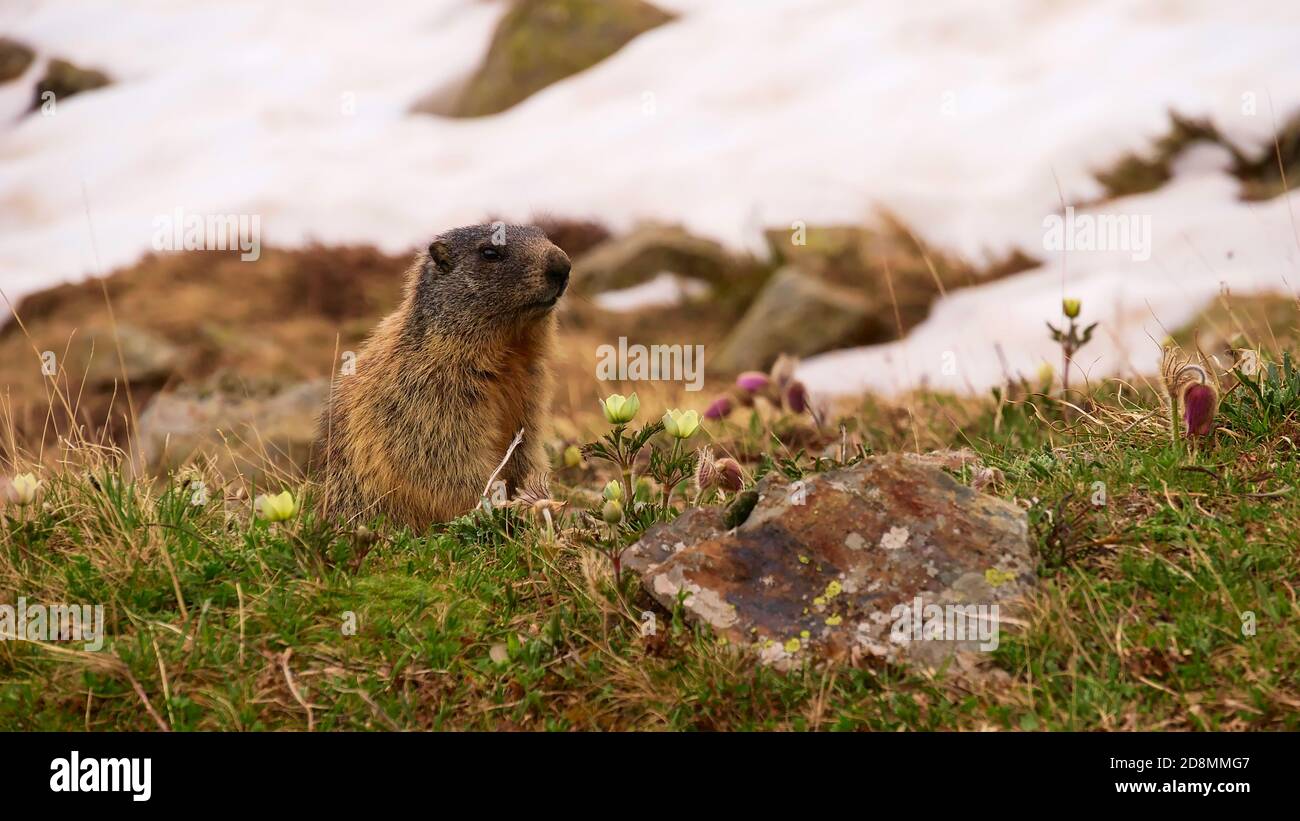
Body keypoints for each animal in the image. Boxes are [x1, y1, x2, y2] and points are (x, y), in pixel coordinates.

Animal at [312, 223, 570, 528]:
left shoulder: (532, 386)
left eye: (543, 235)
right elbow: (444, 456)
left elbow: (527, 445)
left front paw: (540, 496)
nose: (562, 265)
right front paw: (499, 506)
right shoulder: (428, 392)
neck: (510, 353)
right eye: (490, 252)